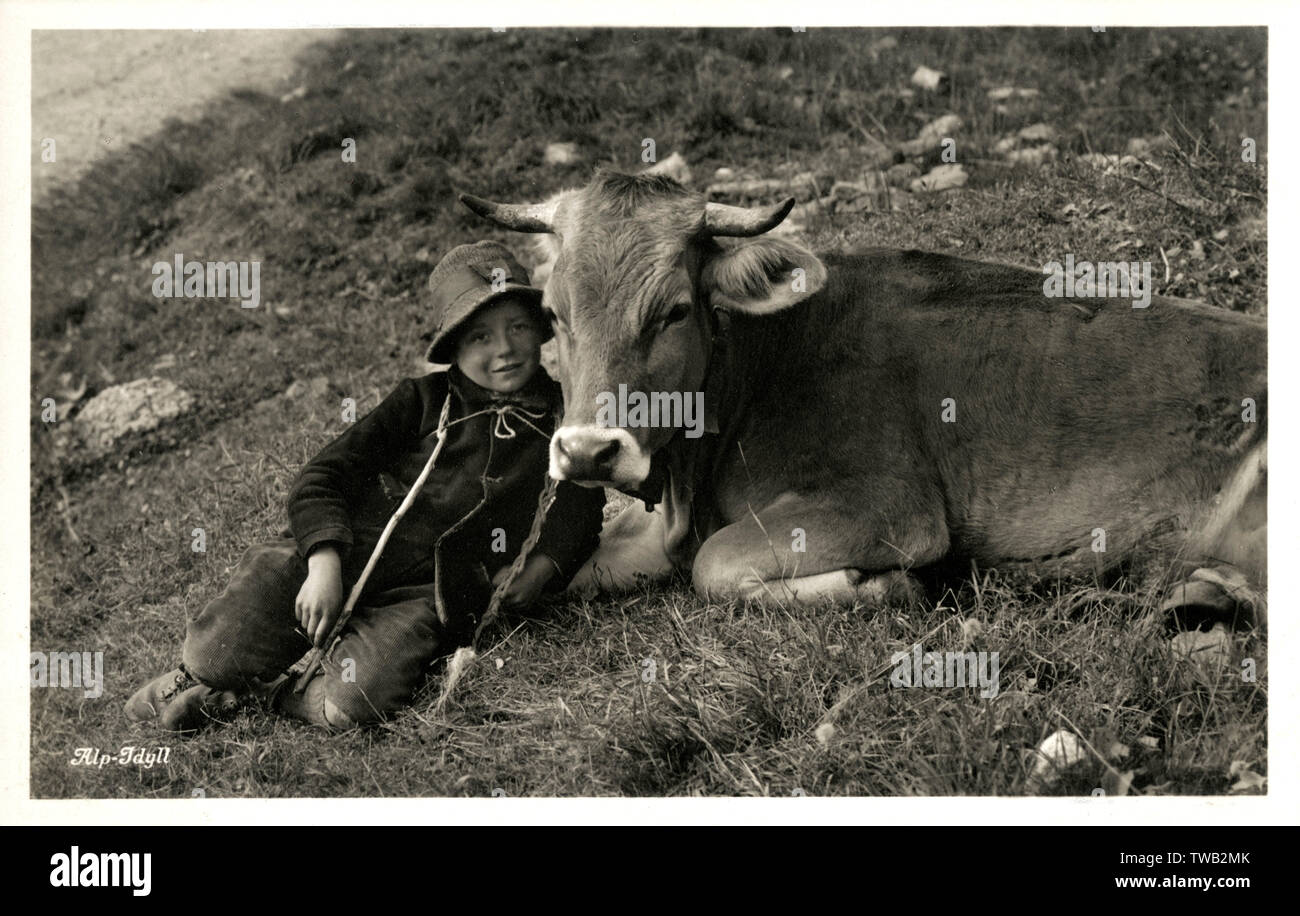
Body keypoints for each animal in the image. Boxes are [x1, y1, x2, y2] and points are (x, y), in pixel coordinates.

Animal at [460, 170, 1266, 620]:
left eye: (674, 311)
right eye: (555, 313)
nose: (588, 453)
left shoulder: (888, 503)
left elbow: (715, 567)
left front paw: (880, 585)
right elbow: (576, 567)